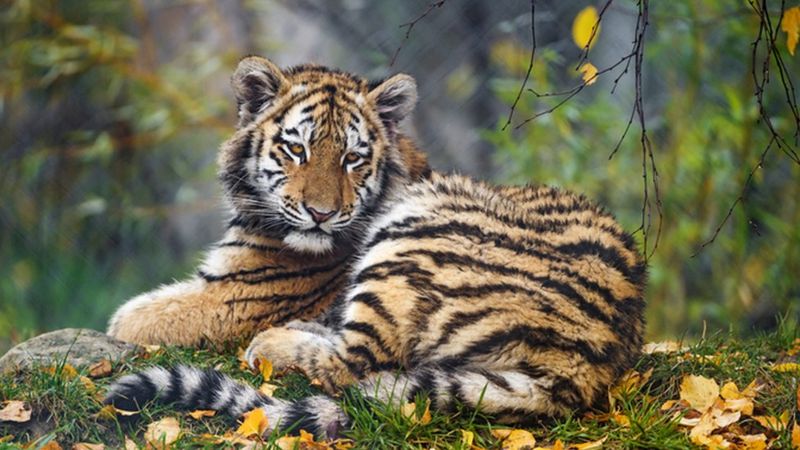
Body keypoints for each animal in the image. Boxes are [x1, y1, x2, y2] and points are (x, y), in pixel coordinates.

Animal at [106, 171, 647, 439]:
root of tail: (583, 365)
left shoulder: (238, 289)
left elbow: (149, 313)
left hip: (409, 235)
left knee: (353, 361)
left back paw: (269, 345)